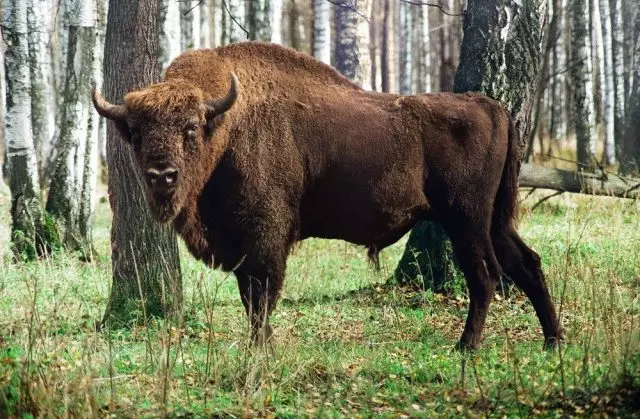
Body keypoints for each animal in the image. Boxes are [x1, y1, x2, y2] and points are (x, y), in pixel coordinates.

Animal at [91, 42, 560, 352]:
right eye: (136, 133)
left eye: (190, 128)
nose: (162, 176)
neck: (226, 123)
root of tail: (492, 107)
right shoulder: (244, 246)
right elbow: (250, 298)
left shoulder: (264, 239)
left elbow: (261, 298)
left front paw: (259, 351)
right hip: (494, 220)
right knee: (527, 264)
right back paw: (552, 340)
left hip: (467, 220)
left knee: (485, 275)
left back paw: (467, 346)